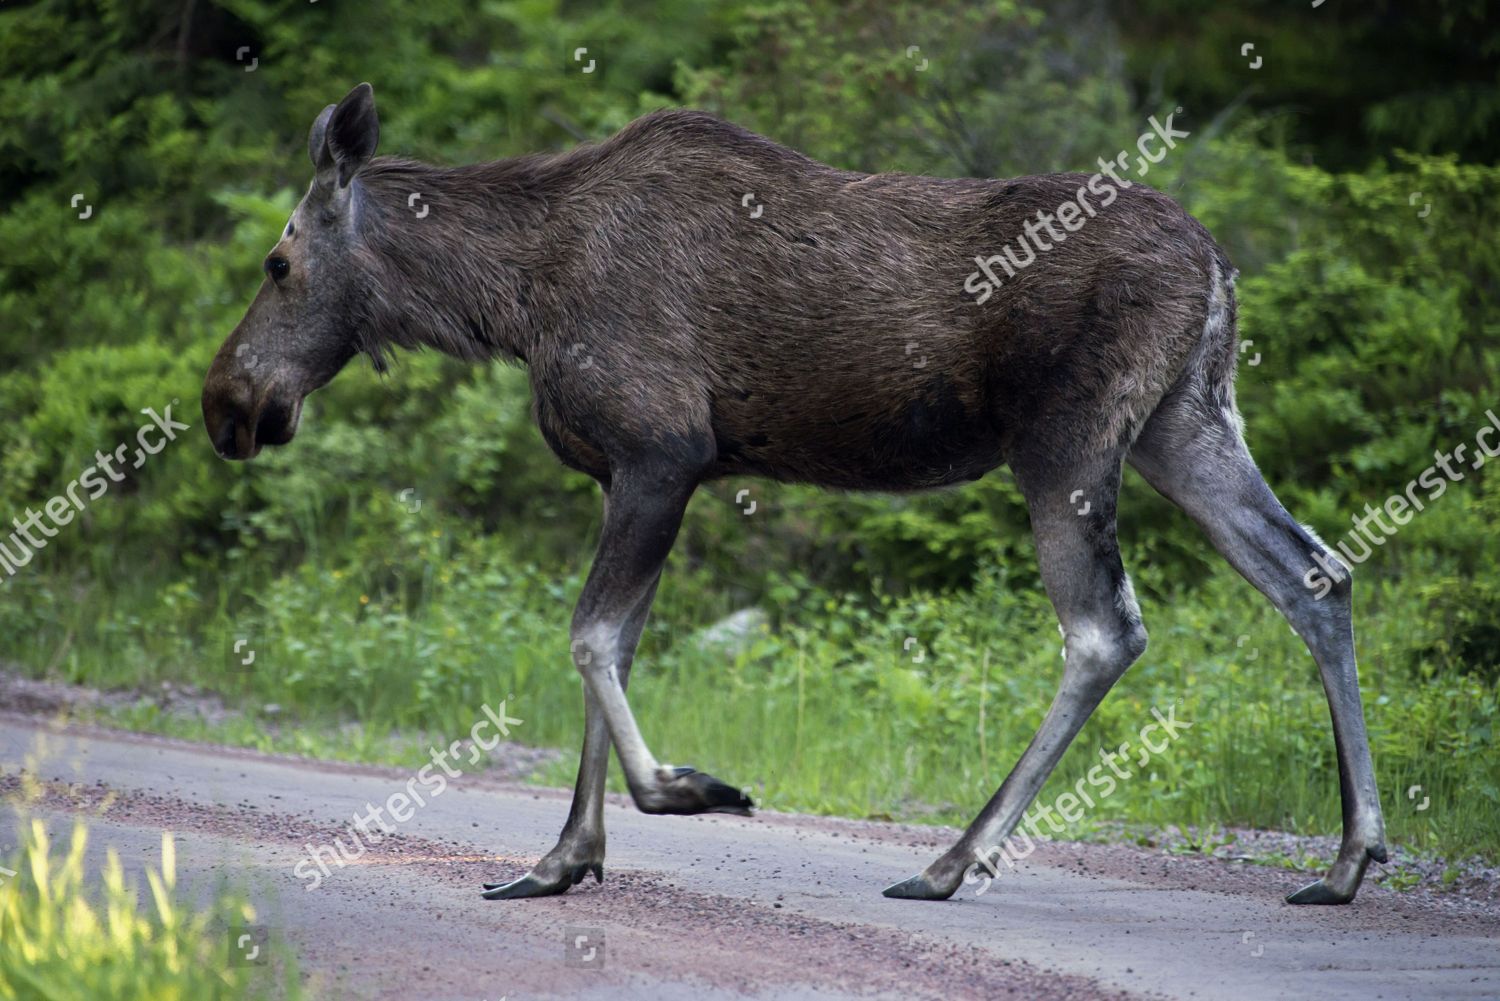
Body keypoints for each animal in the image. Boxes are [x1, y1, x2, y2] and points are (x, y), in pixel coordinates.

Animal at [202, 83, 1387, 906]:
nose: (227, 403)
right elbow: (610, 646)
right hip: (1184, 424)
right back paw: (1349, 855)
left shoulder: (662, 449)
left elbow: (589, 639)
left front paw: (688, 788)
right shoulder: (643, 472)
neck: (513, 299)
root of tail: (1221, 267)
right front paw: (561, 859)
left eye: (276, 263)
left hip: (1066, 444)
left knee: (1105, 629)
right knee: (1314, 573)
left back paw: (952, 859)